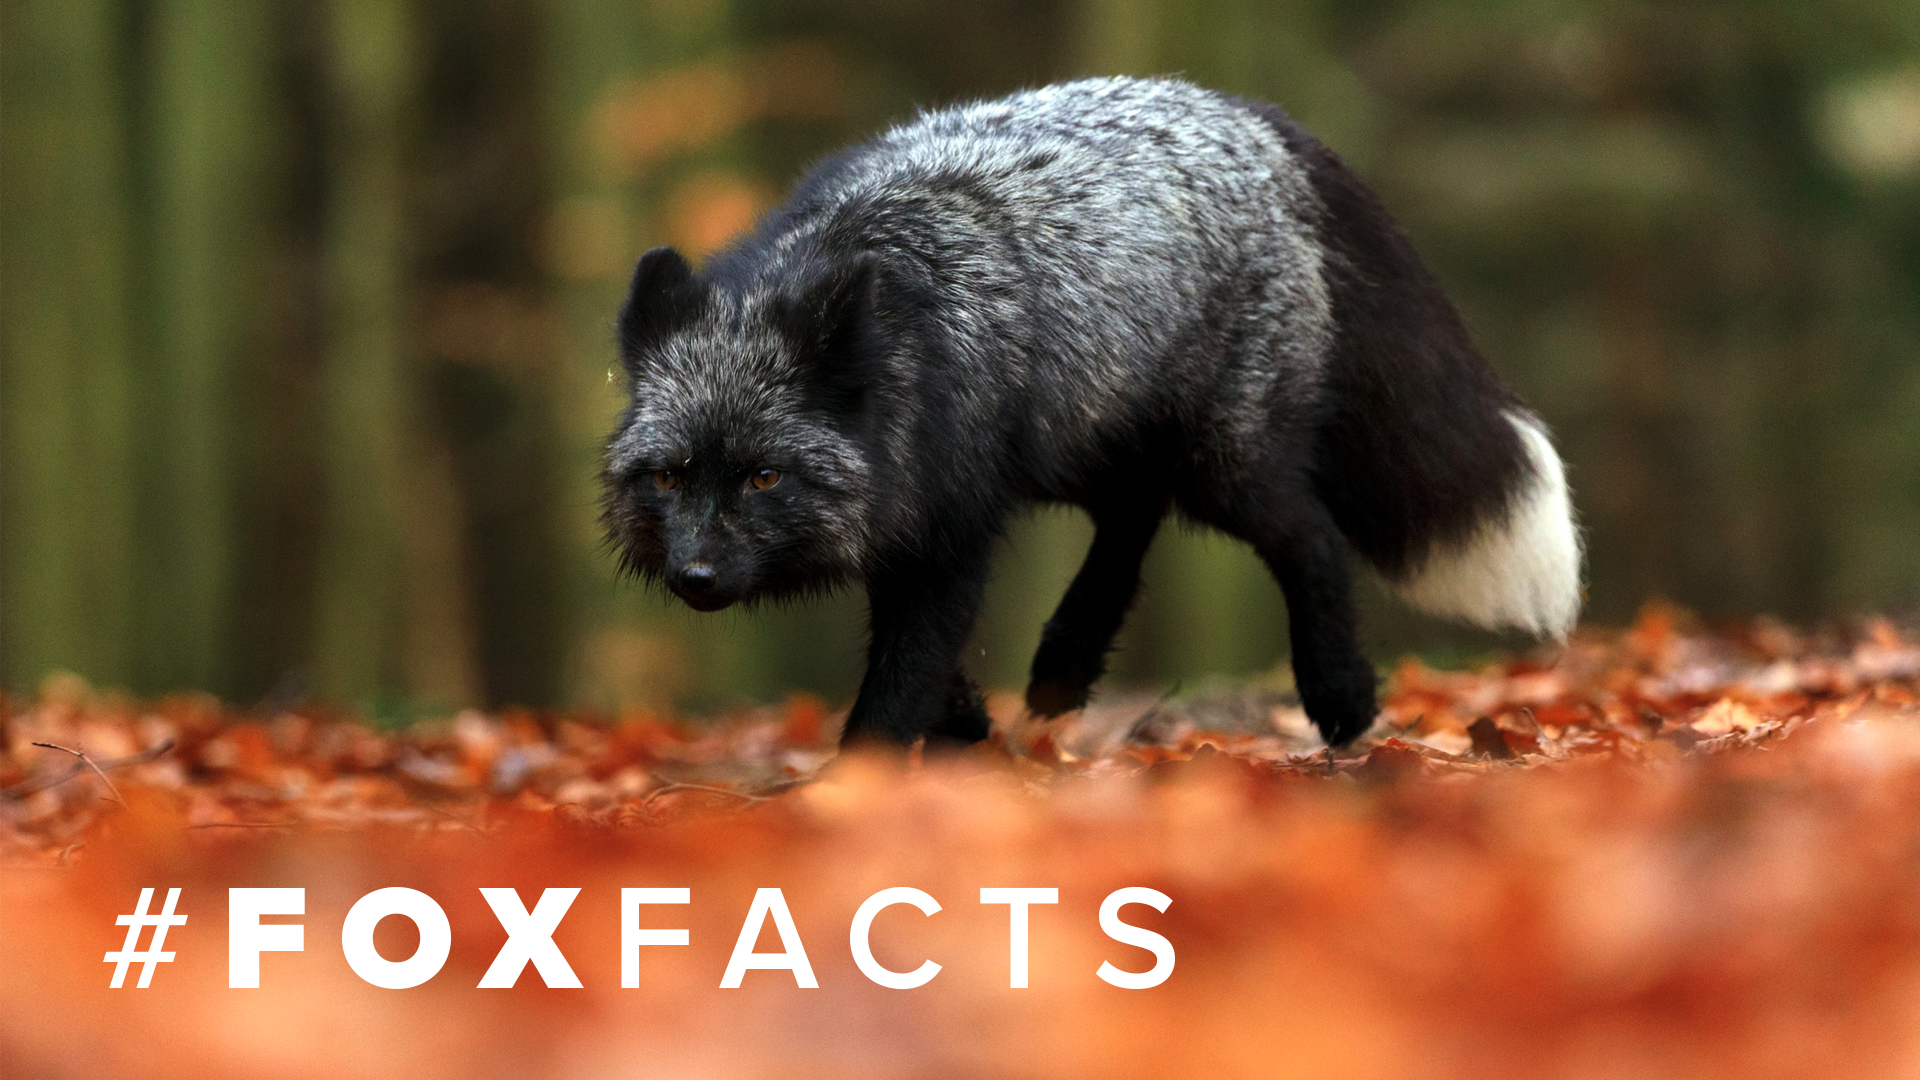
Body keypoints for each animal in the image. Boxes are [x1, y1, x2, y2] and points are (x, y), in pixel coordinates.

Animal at [602, 76, 1582, 750]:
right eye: (670, 477)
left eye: (764, 476)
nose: (694, 577)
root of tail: (1255, 116)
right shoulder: (914, 514)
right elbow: (927, 664)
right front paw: (965, 729)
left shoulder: (952, 531)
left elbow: (896, 685)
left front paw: (855, 792)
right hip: (1080, 439)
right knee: (1132, 517)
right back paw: (1064, 667)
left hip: (1224, 465)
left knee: (1308, 538)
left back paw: (1339, 698)